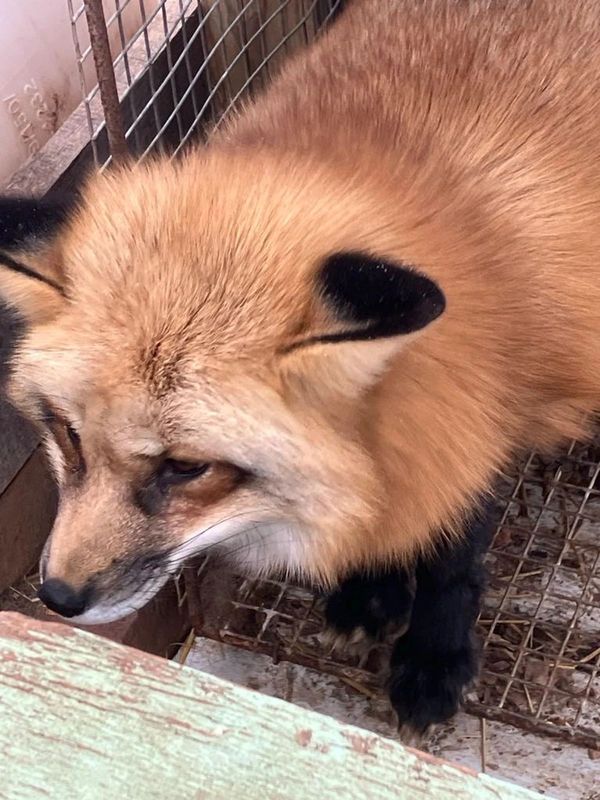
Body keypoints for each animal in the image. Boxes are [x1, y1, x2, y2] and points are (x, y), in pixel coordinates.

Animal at [2, 0, 600, 737]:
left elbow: (451, 560)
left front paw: (433, 662)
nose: (57, 596)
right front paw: (367, 594)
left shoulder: (488, 415)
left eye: (187, 467)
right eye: (68, 434)